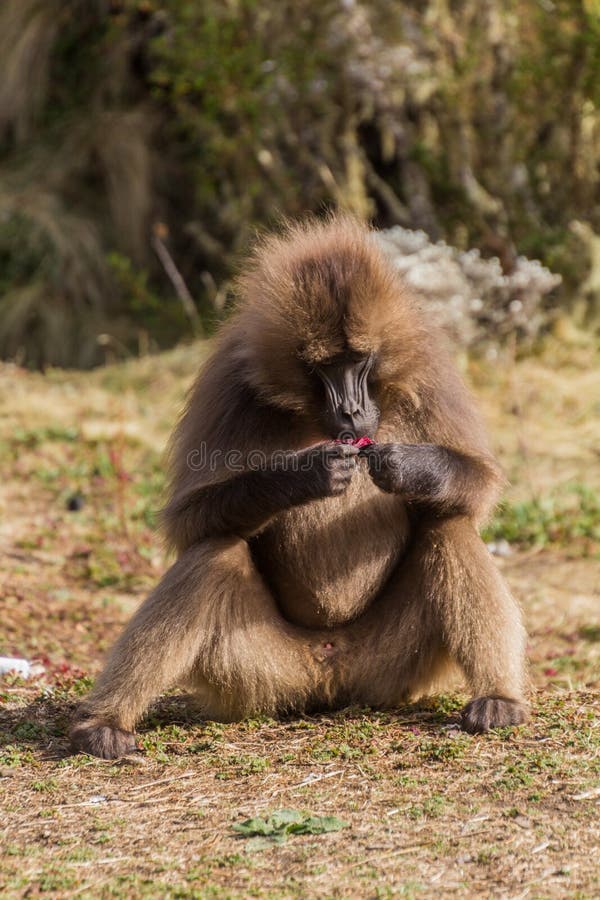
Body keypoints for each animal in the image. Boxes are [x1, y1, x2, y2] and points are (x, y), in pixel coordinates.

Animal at [70, 215, 529, 759]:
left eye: (361, 361)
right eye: (324, 367)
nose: (352, 412)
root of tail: (328, 674)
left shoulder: (429, 368)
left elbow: (479, 487)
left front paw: (407, 467)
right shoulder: (229, 381)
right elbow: (188, 519)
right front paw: (307, 474)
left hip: (391, 669)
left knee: (449, 523)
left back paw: (498, 699)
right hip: (259, 674)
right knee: (215, 553)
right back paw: (106, 723)